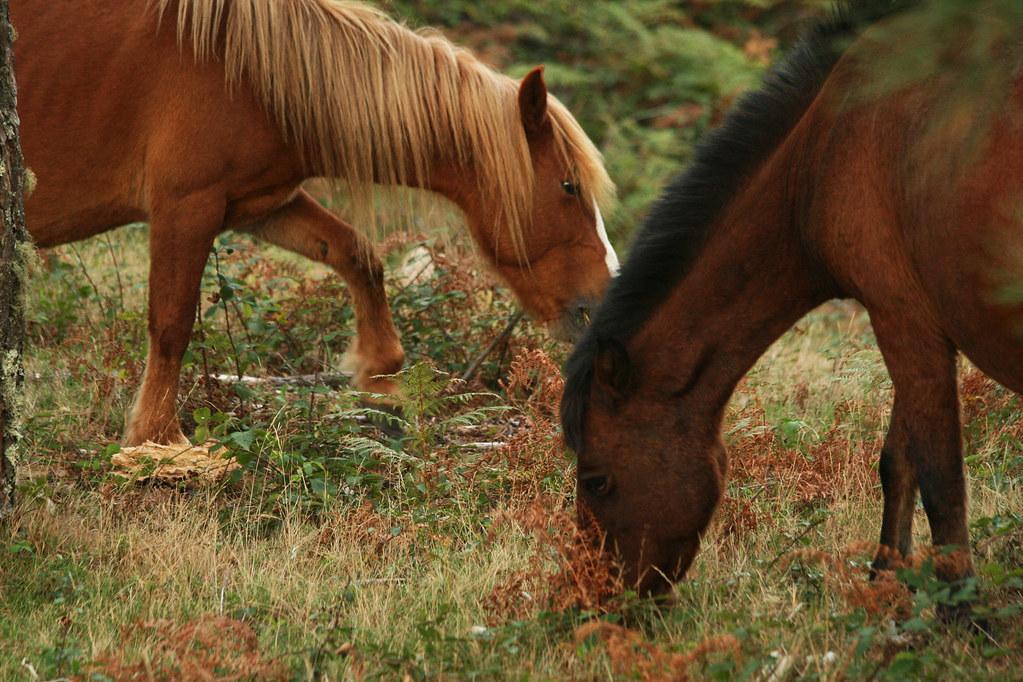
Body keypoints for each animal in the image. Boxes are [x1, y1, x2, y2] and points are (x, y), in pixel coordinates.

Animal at [12, 0, 617, 446]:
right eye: (569, 186)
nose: (602, 298)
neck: (241, 69)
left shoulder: (260, 205)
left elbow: (357, 253)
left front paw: (382, 379)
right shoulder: (186, 206)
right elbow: (171, 323)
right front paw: (156, 441)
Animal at [562, 0, 1023, 597]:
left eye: (597, 481)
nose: (592, 598)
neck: (822, 147)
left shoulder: (904, 320)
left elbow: (941, 486)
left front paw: (957, 606)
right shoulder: (908, 321)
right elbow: (898, 463)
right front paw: (884, 586)